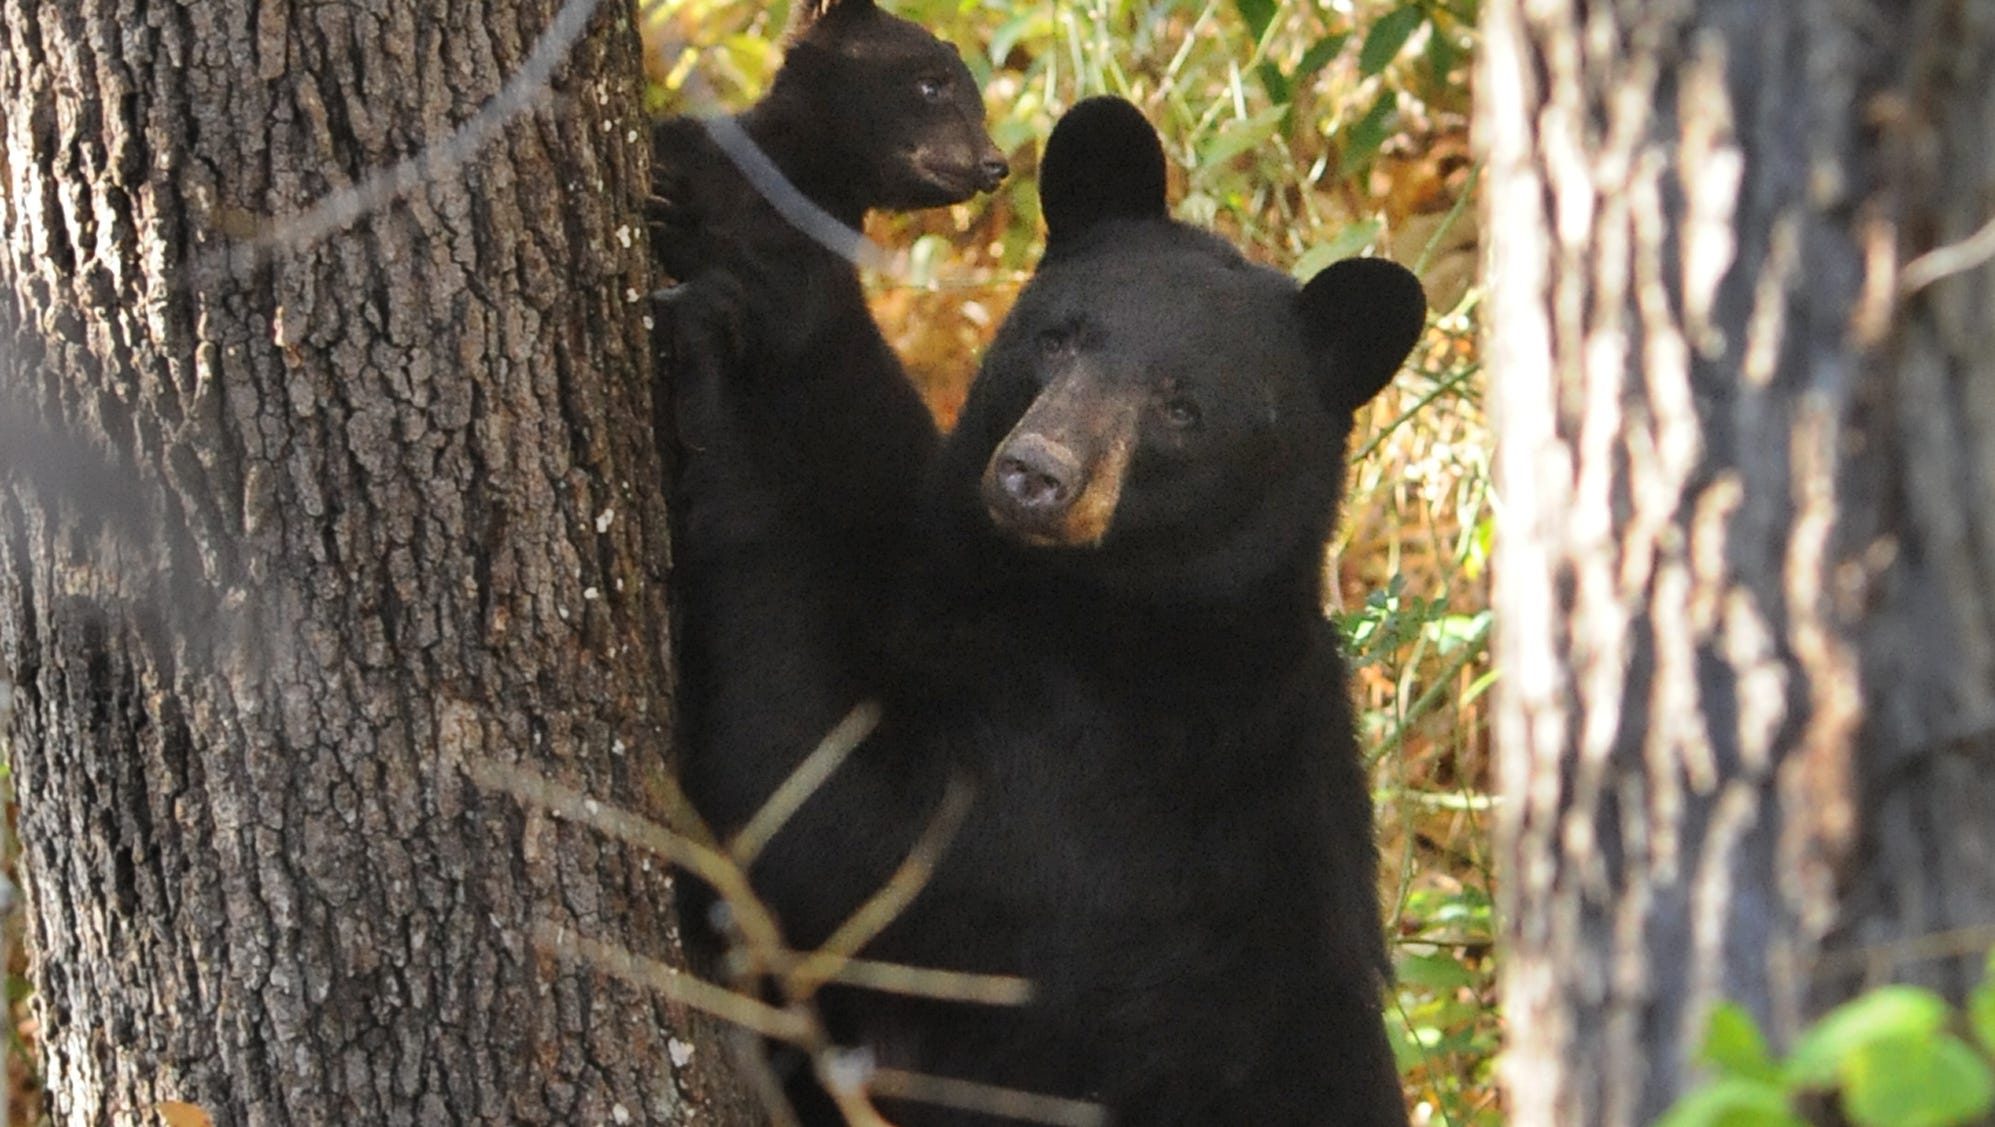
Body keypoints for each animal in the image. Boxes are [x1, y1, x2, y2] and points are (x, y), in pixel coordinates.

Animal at [651, 0, 1008, 839]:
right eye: (931, 81)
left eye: (974, 97)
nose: (993, 164)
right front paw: (664, 199)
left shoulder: (804, 292)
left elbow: (756, 308)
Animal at [674, 93, 1426, 1127]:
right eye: (1057, 337)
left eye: (1183, 408)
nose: (1035, 476)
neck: (1089, 607)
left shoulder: (1099, 781)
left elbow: (831, 815)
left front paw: (703, 383)